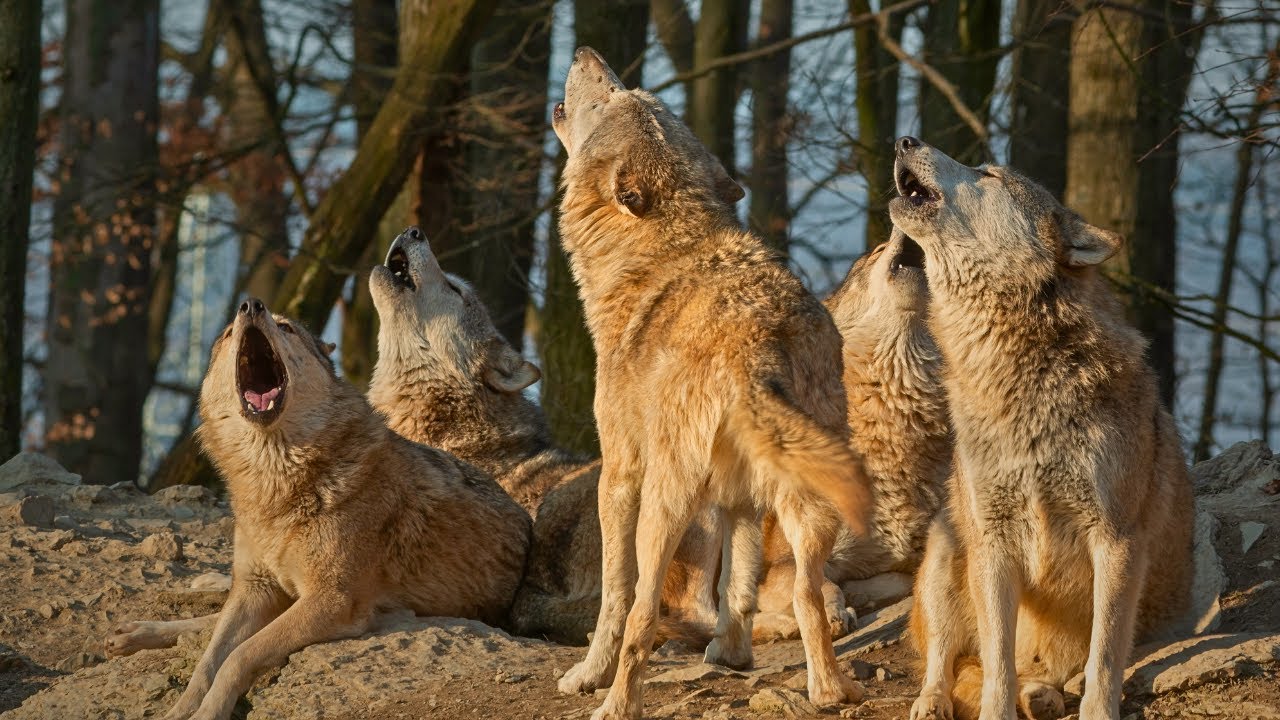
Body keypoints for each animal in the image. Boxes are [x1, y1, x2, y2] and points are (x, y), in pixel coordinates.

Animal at [156, 299, 529, 720]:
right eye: (227, 334)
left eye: (286, 327)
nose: (251, 305)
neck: (275, 480)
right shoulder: (254, 588)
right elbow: (208, 660)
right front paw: (179, 710)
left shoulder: (330, 600)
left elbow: (238, 656)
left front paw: (208, 711)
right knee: (207, 621)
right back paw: (129, 634)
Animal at [551, 47, 870, 719]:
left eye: (619, 95)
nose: (588, 52)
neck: (650, 252)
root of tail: (762, 344)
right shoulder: (740, 496)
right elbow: (739, 584)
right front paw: (731, 654)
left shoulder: (619, 472)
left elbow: (614, 596)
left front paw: (587, 674)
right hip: (811, 500)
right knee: (808, 596)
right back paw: (831, 689)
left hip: (666, 505)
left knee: (644, 611)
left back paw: (614, 704)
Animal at [753, 228, 952, 640]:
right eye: (877, 250)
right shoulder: (785, 562)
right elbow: (819, 584)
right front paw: (831, 613)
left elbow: (901, 580)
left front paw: (860, 595)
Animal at [888, 137, 1194, 720]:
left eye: (988, 174)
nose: (906, 141)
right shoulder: (993, 542)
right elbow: (996, 661)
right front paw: (997, 711)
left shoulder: (1116, 540)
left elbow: (1104, 656)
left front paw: (1099, 713)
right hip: (946, 549)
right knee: (947, 659)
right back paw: (934, 702)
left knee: (1046, 672)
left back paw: (1041, 695)